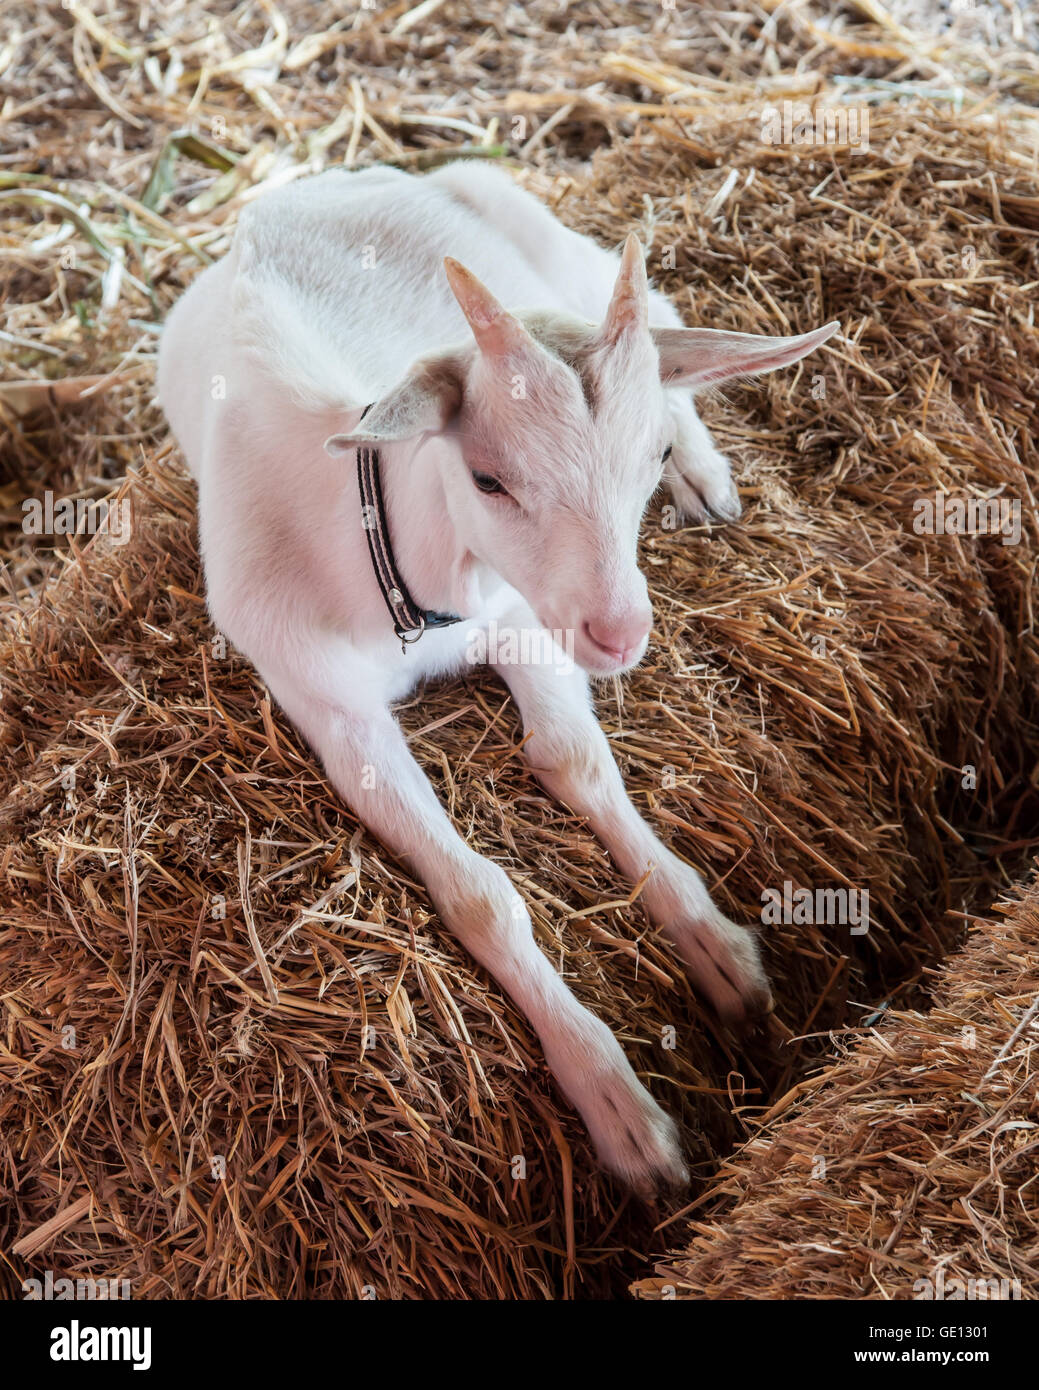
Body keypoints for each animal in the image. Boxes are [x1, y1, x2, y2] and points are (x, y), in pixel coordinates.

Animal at [157, 162, 837, 1191]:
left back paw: (709, 478)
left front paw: (721, 956)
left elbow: (574, 761)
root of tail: (319, 180)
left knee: (669, 326)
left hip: (555, 244)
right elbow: (480, 892)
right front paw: (621, 1113)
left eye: (645, 458)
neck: (395, 568)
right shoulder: (328, 703)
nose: (619, 633)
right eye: (487, 480)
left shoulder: (521, 617)